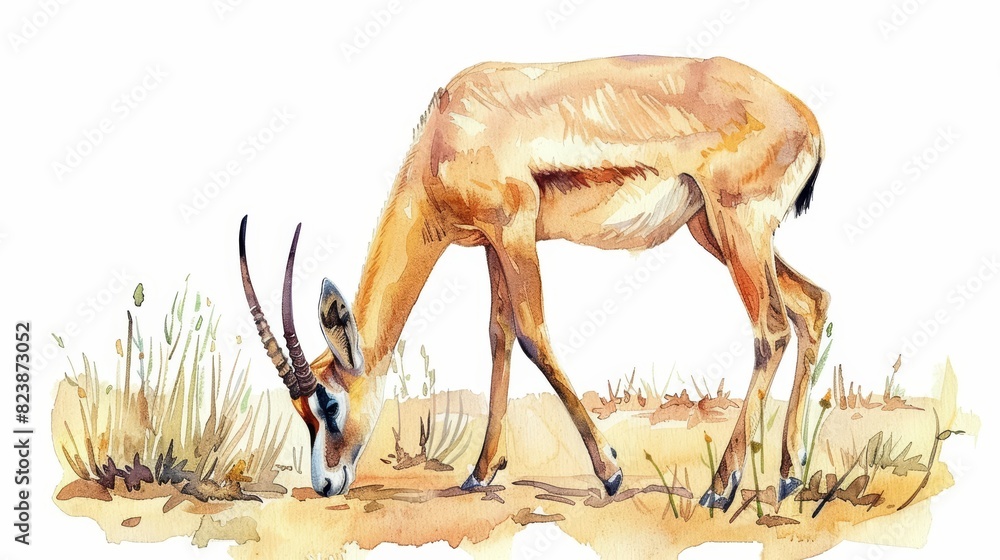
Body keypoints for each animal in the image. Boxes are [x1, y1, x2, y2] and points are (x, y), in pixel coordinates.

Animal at [238, 55, 829, 510]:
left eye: (328, 404)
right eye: (302, 411)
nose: (325, 484)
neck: (450, 127)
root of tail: (808, 120)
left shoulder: (515, 230)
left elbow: (532, 334)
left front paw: (611, 472)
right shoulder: (490, 245)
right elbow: (498, 335)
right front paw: (480, 472)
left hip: (737, 230)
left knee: (771, 329)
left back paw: (720, 489)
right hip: (714, 231)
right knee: (812, 304)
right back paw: (788, 475)